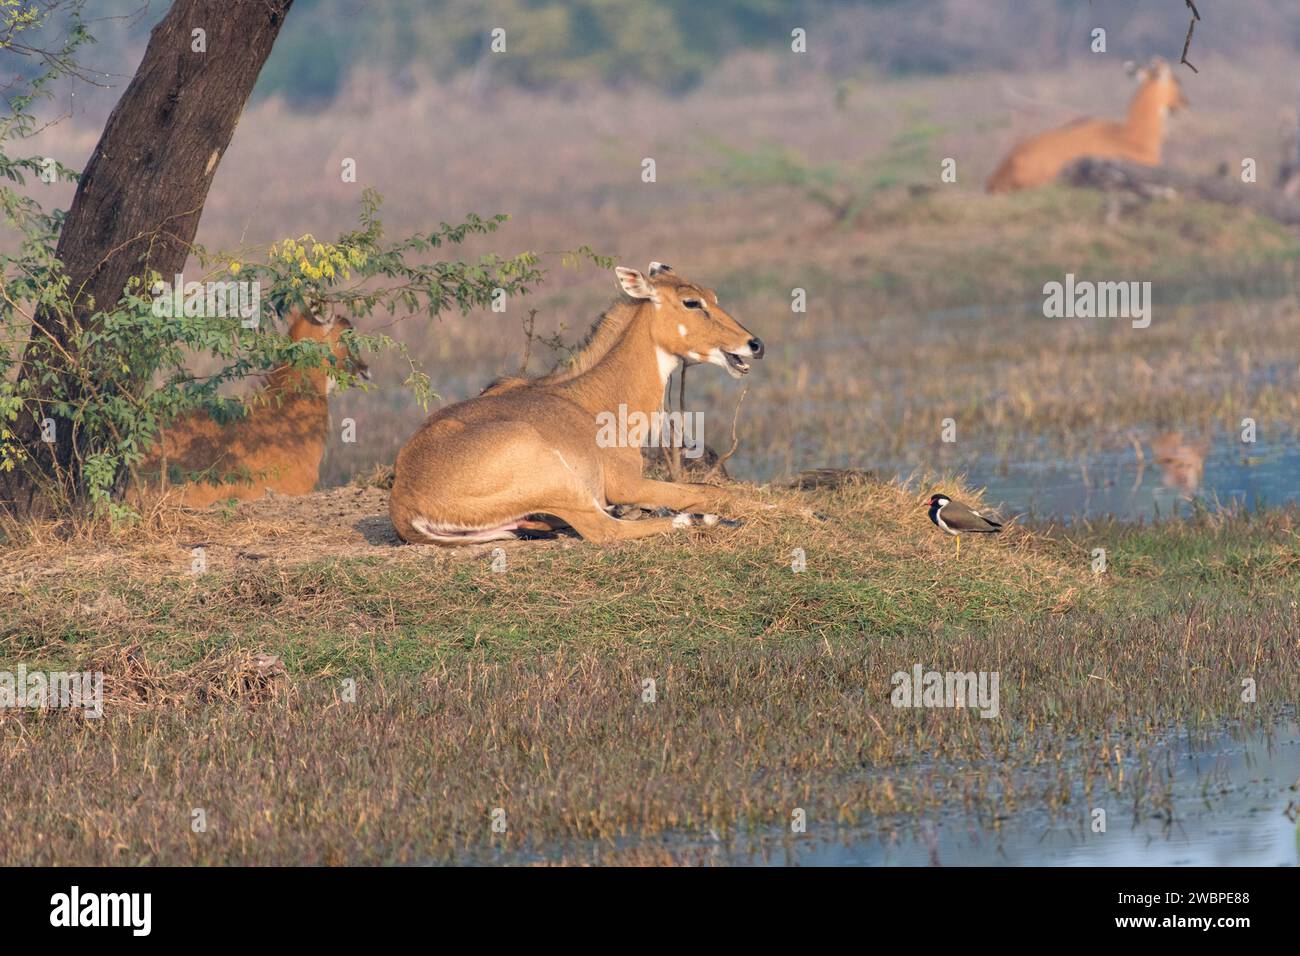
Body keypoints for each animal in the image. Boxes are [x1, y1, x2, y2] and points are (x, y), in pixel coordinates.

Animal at [389, 263, 764, 545]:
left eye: (713, 296)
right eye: (691, 302)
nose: (755, 344)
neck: (598, 397)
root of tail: (405, 505)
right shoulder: (626, 483)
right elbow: (713, 492)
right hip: (555, 477)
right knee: (604, 529)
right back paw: (698, 520)